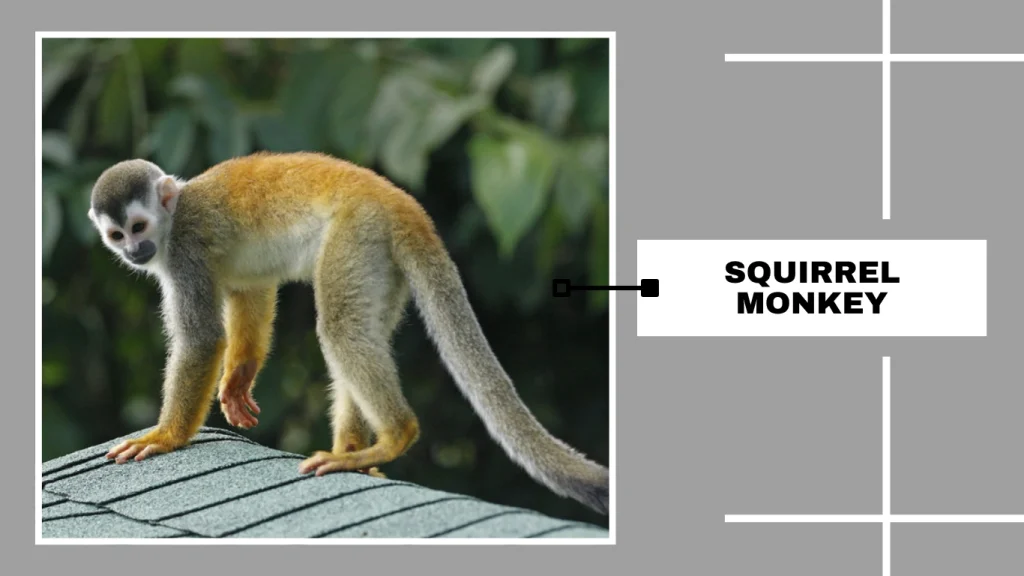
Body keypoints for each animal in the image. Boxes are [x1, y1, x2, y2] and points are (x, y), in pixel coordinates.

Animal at [87, 152, 609, 515]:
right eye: (117, 236)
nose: (134, 251)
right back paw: (355, 451)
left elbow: (201, 339)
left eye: (139, 226)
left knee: (339, 327)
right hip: (381, 259)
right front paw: (238, 380)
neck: (173, 219)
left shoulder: (184, 254)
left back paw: (394, 436)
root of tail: (400, 201)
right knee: (360, 327)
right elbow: (252, 289)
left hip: (356, 232)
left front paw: (167, 436)